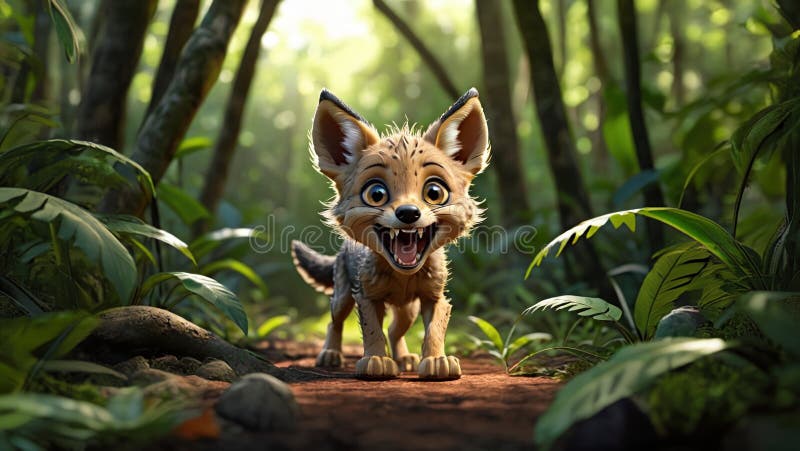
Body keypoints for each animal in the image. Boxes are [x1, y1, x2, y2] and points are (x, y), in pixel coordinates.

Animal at [291, 88, 489, 380]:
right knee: (334, 322)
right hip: (343, 297)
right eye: (376, 194)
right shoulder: (366, 296)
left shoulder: (435, 297)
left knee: (396, 330)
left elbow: (434, 331)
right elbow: (373, 331)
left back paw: (405, 357)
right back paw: (330, 354)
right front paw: (376, 361)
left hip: (408, 309)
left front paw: (436, 361)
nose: (408, 213)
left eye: (434, 192)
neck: (402, 277)